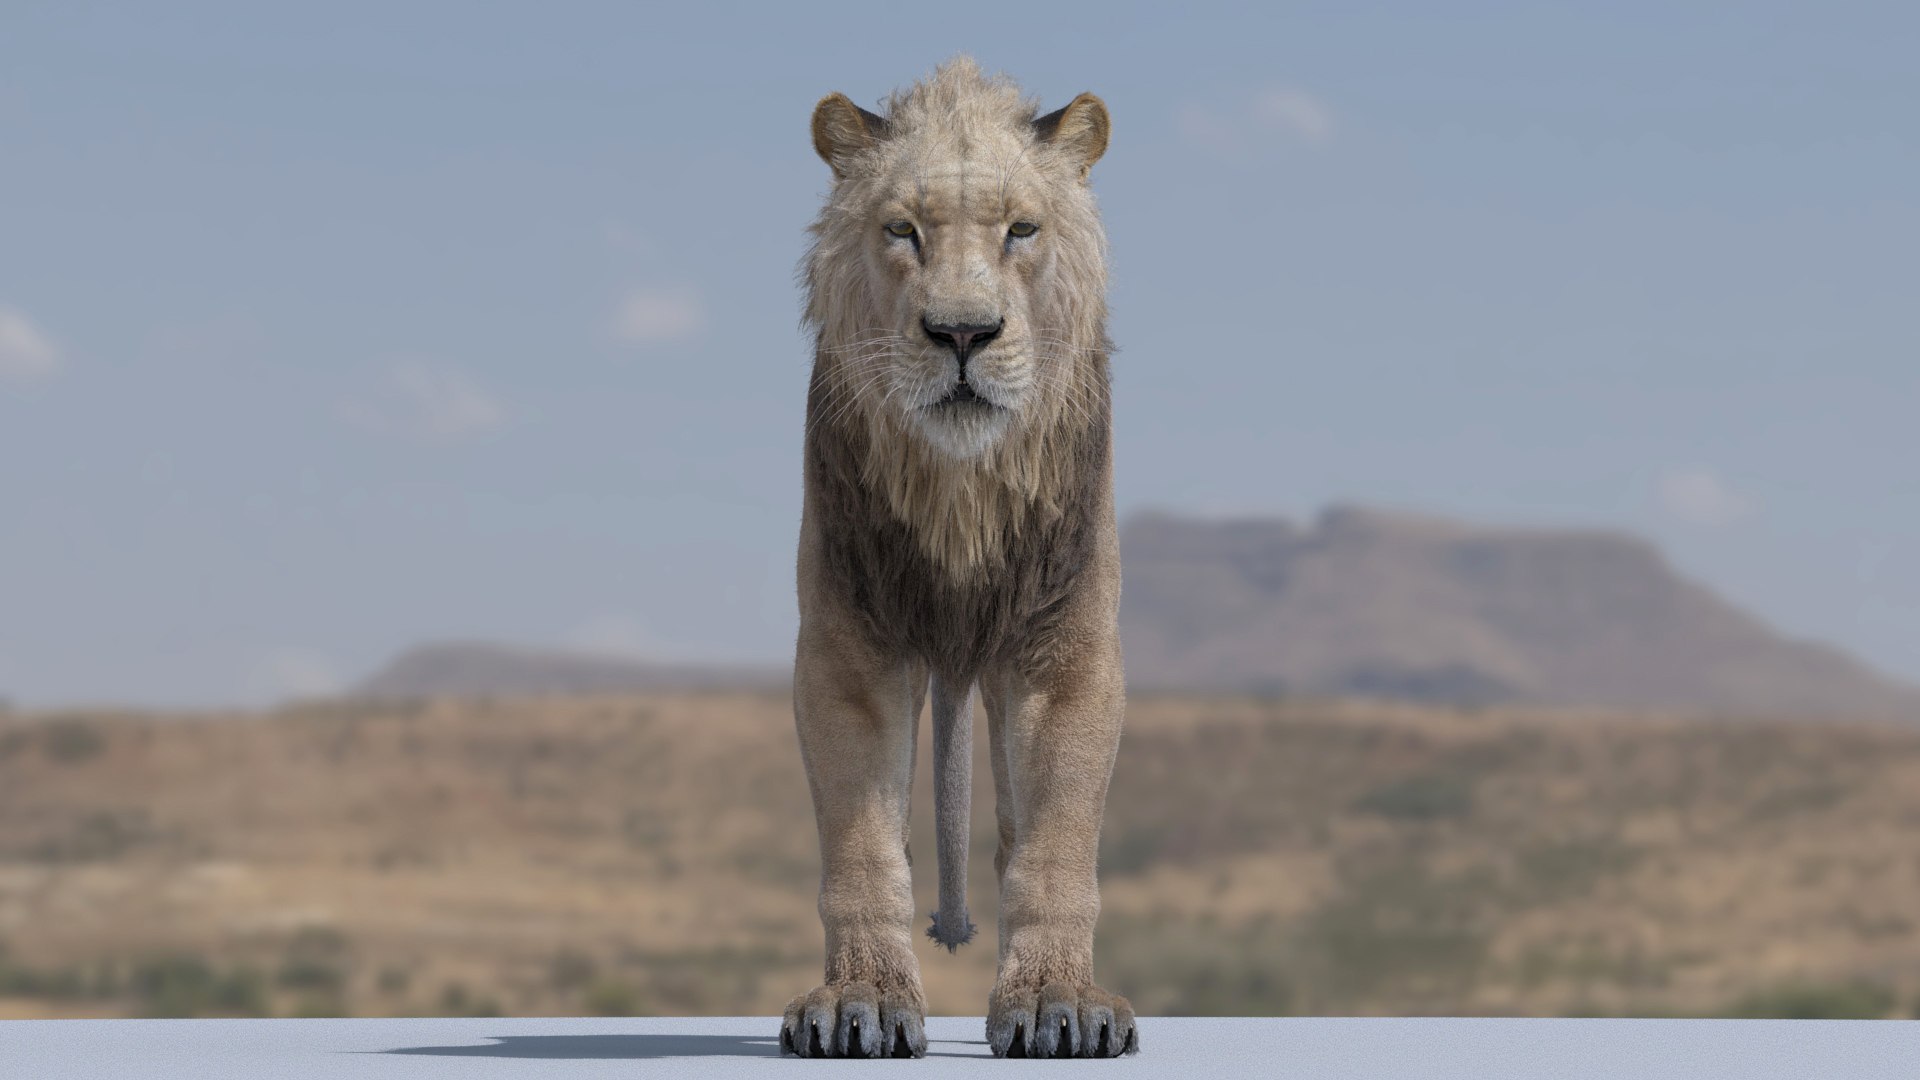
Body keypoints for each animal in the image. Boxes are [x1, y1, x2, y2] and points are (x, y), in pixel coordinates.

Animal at [779, 58, 1137, 1059]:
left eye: (1022, 229)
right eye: (903, 229)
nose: (964, 334)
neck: (960, 498)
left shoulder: (1065, 652)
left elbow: (1055, 846)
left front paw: (1058, 1002)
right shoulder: (849, 648)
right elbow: (863, 849)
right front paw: (858, 1003)